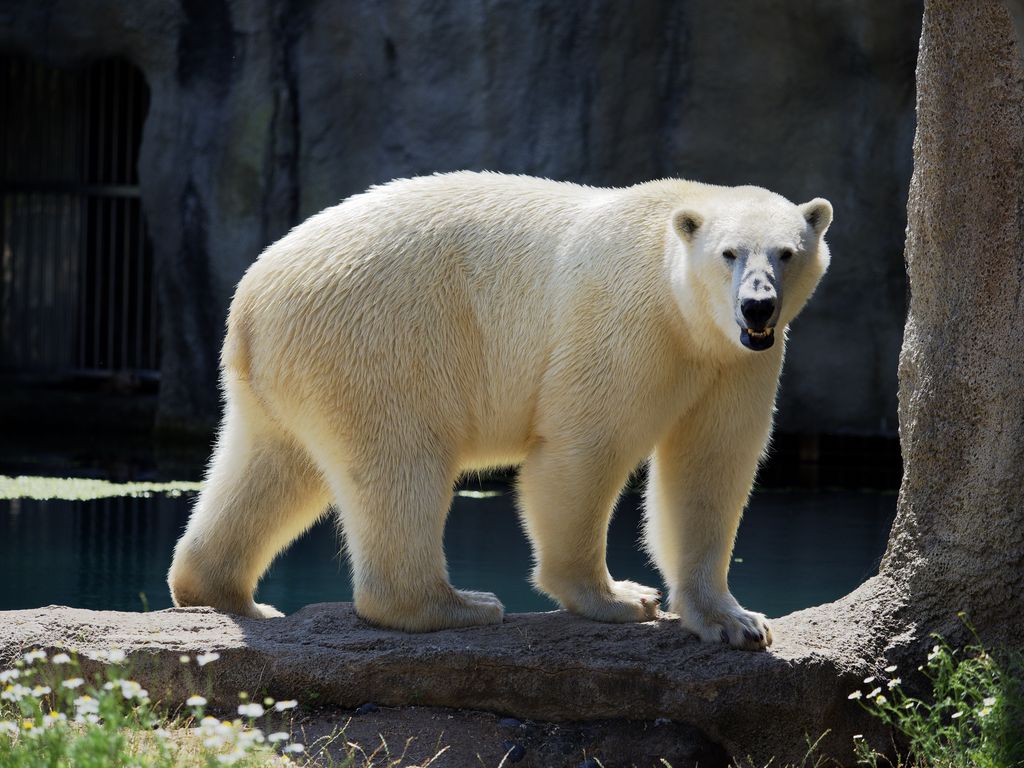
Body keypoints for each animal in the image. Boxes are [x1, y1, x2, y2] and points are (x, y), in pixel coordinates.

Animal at [167, 171, 832, 651]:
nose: (757, 306)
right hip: (378, 346)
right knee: (400, 468)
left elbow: (710, 468)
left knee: (272, 468)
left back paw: (224, 591)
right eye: (729, 253)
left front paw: (736, 621)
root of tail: (251, 302)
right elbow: (582, 449)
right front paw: (621, 598)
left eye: (786, 252)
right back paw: (459, 605)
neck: (685, 312)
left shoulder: (736, 362)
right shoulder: (629, 325)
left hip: (284, 377)